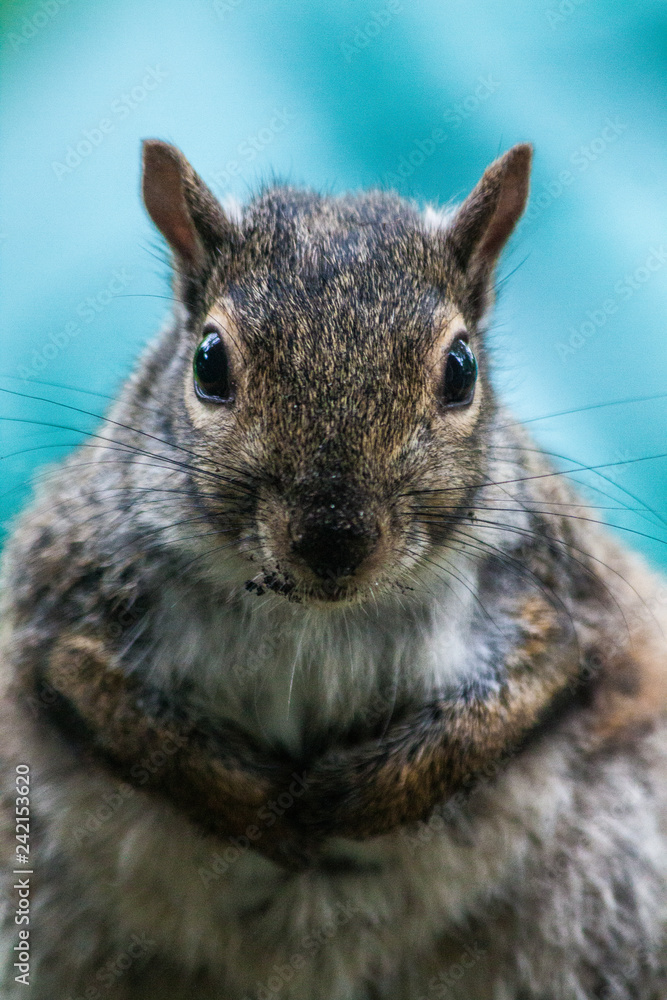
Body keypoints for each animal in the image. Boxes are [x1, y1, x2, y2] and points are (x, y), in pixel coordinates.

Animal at [1, 138, 667, 999]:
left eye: (461, 369)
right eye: (208, 362)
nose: (332, 539)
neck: (313, 614)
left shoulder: (560, 597)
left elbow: (529, 684)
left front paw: (356, 793)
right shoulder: (65, 594)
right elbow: (94, 691)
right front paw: (257, 802)